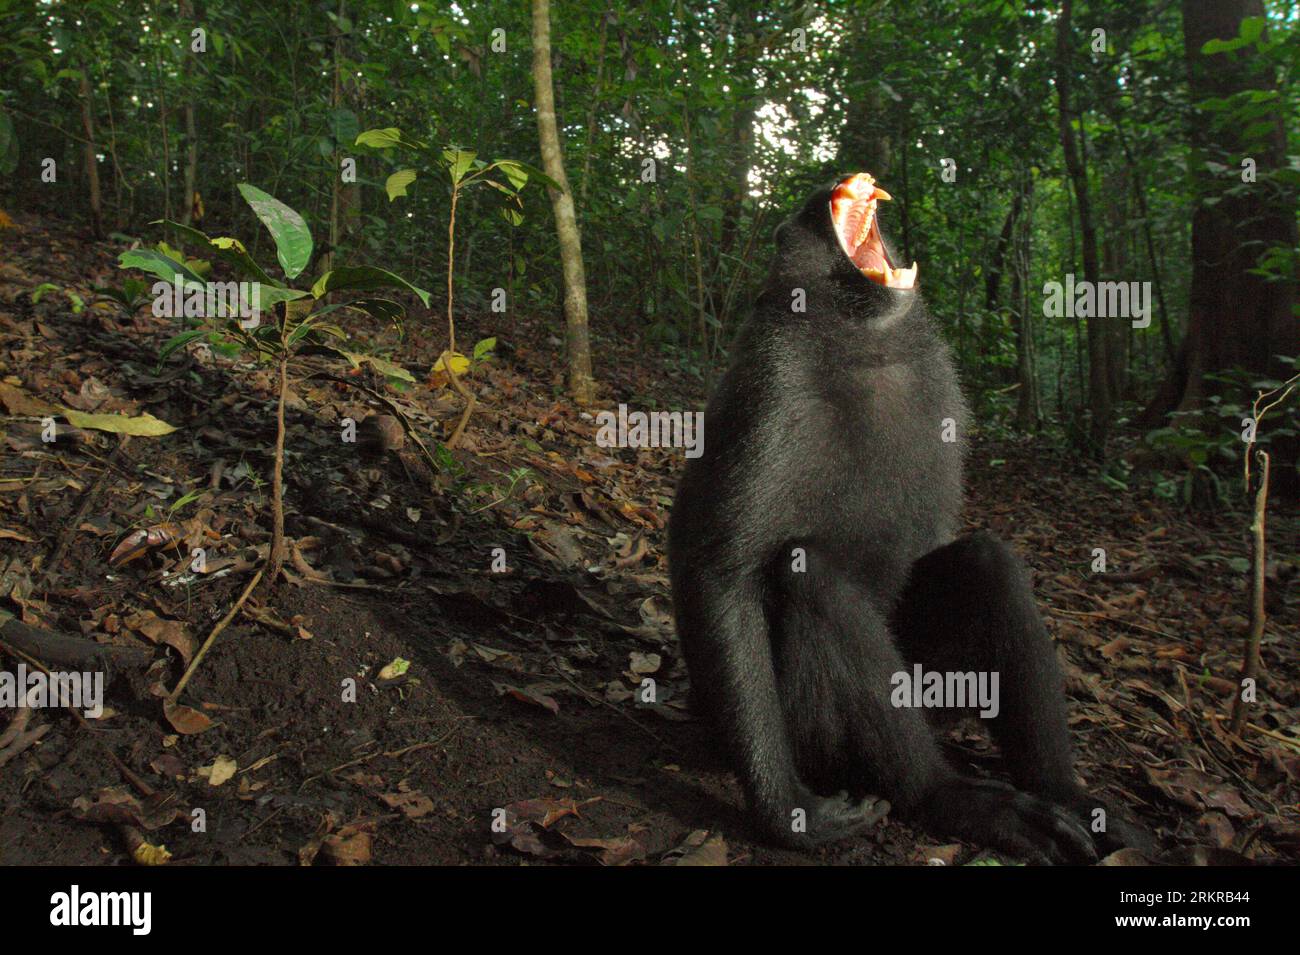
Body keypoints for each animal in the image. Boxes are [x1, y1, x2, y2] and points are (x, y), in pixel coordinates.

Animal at [667, 173, 1148, 864]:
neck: (867, 349)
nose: (837, 180)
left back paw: (1064, 793)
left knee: (986, 563)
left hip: (936, 692)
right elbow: (719, 573)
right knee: (813, 574)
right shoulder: (771, 392)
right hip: (808, 731)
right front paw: (786, 812)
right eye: (796, 224)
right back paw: (945, 795)